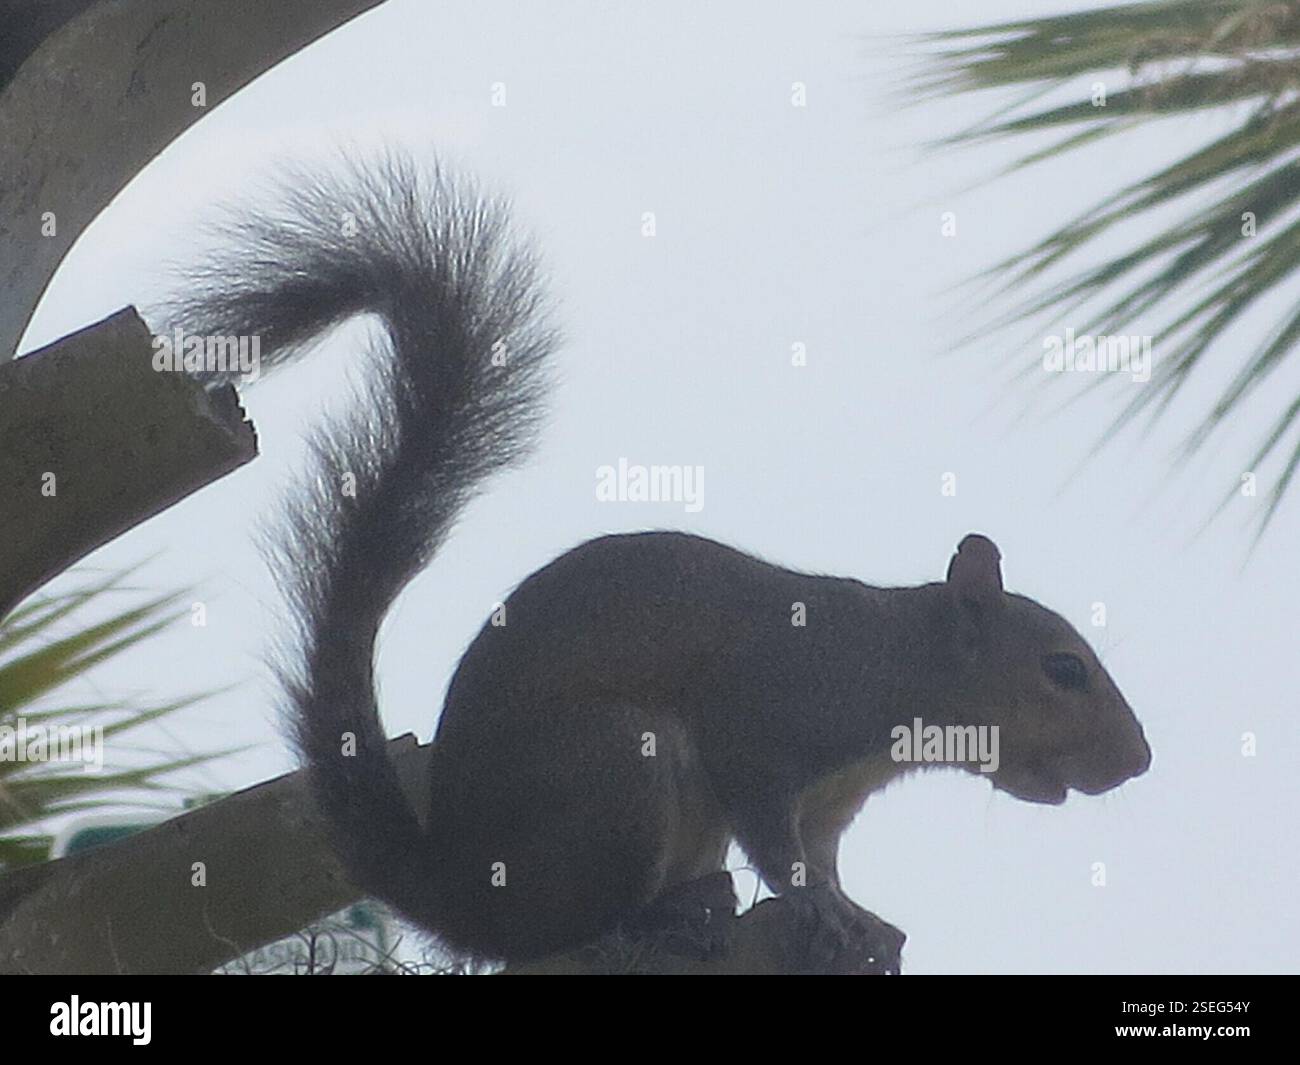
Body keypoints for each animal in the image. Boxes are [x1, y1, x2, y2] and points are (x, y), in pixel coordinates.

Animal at [167, 152, 1152, 974]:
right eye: (1064, 669)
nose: (1140, 761)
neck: (888, 662)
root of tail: (463, 901)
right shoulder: (767, 717)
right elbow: (780, 845)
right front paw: (824, 912)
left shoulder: (832, 800)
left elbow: (823, 858)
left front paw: (855, 911)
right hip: (614, 772)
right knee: (571, 928)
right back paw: (650, 917)